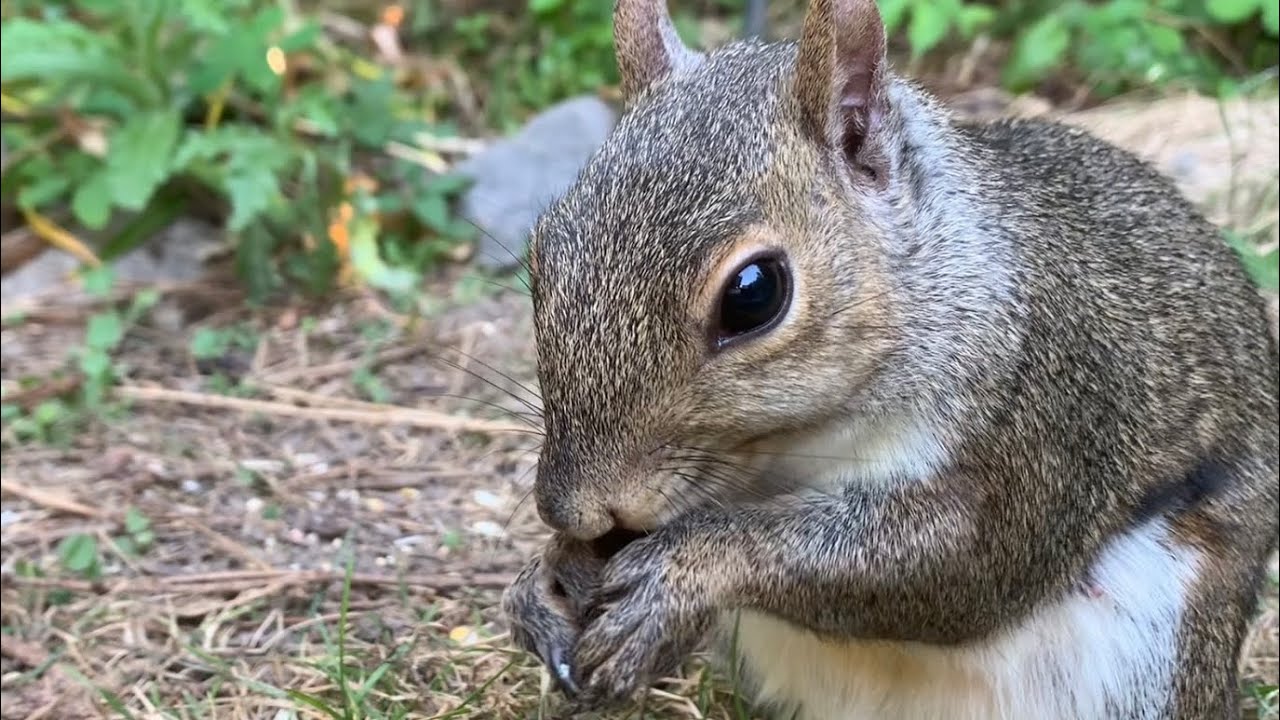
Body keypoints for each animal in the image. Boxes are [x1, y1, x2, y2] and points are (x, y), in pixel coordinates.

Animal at [500, 0, 1280, 718]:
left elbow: (961, 565)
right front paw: (547, 583)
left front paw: (680, 575)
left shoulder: (1042, 416)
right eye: (545, 247)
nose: (568, 508)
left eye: (755, 294)